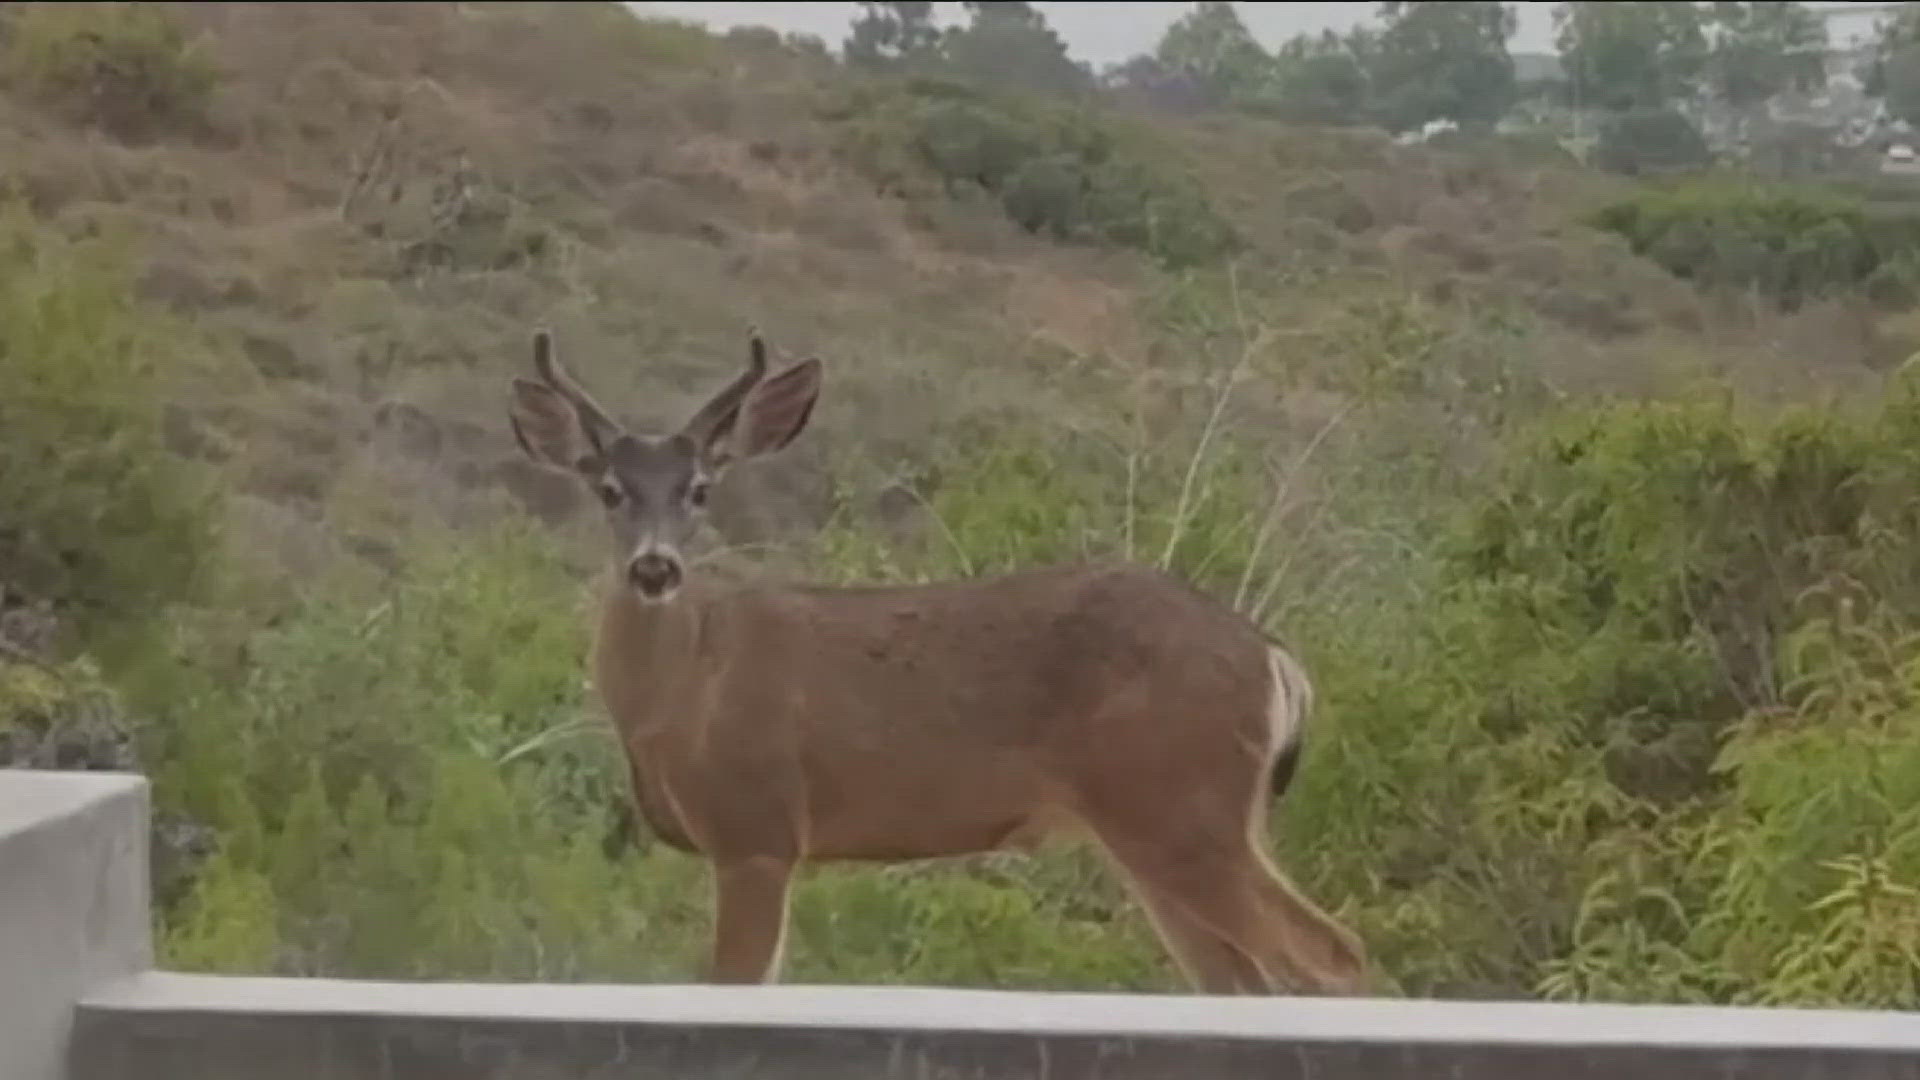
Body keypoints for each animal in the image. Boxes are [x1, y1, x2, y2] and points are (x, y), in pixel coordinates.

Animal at [505, 327, 1370, 997]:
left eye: (699, 490)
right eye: (610, 490)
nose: (655, 569)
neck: (684, 693)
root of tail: (1275, 660)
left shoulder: (758, 827)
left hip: (1184, 807)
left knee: (1333, 954)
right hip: (1172, 829)